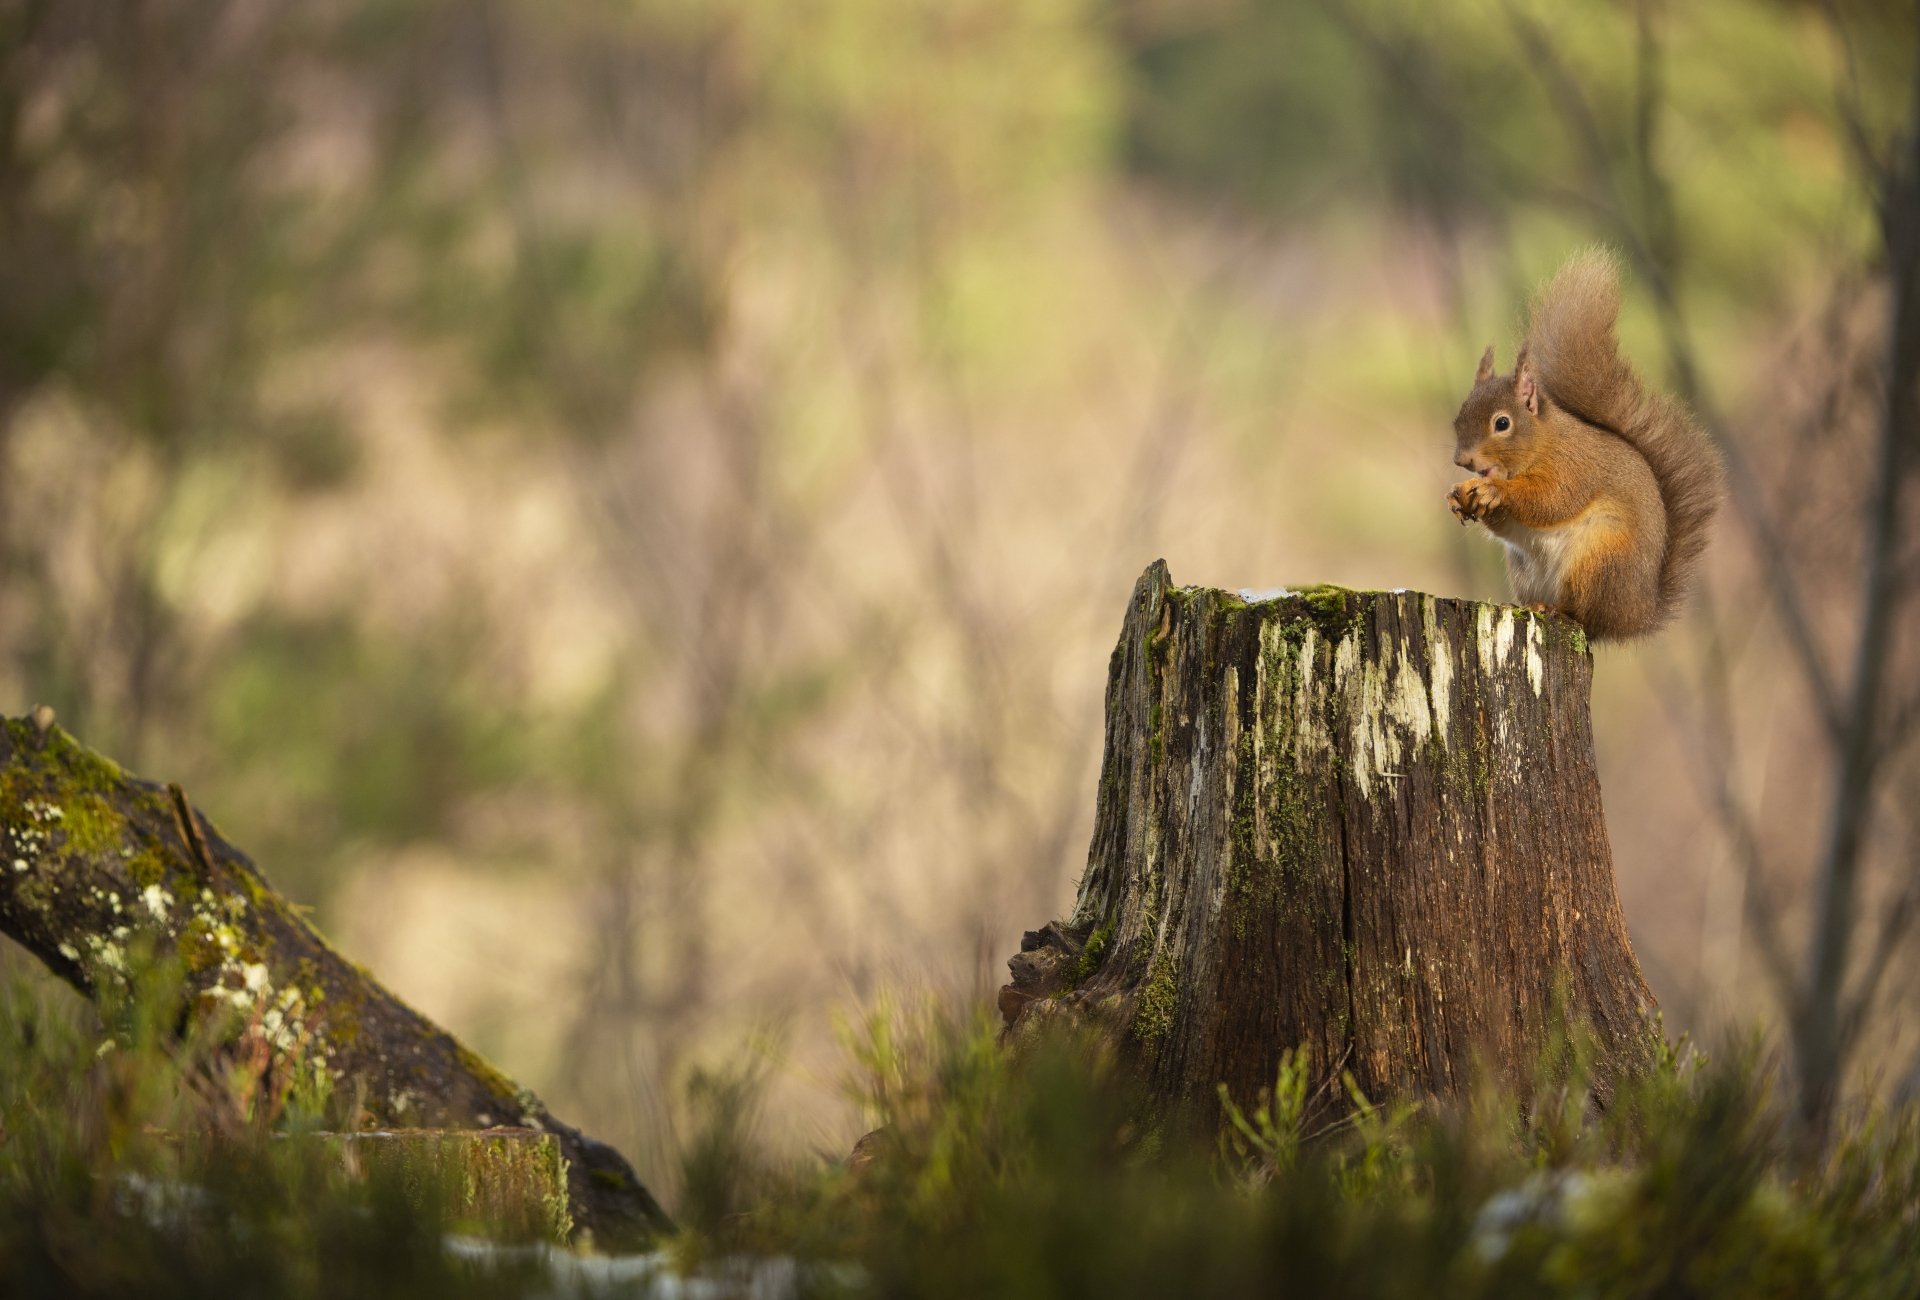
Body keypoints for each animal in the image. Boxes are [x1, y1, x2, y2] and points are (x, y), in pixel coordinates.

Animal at [1446, 248, 1723, 640]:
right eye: (1458, 418)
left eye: (1502, 423)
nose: (1463, 460)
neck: (1542, 443)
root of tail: (1635, 615)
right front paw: (1458, 496)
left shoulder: (1575, 465)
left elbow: (1551, 500)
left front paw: (1495, 491)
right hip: (1525, 570)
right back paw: (1532, 604)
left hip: (1598, 562)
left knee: (1587, 619)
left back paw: (1557, 611)